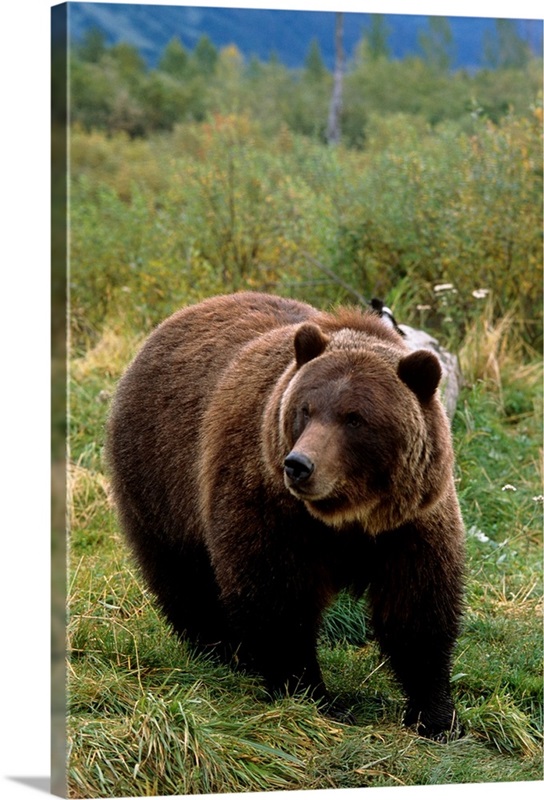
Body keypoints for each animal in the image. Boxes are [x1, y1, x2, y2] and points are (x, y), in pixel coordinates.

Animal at [106, 291, 465, 740]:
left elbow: (418, 606)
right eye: (306, 409)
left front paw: (436, 715)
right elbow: (277, 598)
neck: (348, 516)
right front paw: (313, 695)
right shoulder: (269, 506)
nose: (299, 465)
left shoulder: (410, 523)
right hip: (161, 477)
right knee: (183, 575)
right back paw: (221, 650)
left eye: (355, 418)